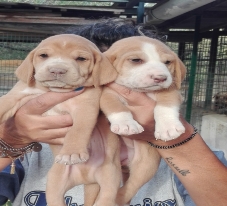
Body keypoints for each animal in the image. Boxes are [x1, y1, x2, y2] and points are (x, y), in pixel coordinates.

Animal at [0, 34, 122, 206]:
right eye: (44, 55)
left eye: (81, 58)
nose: (57, 69)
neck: (56, 90)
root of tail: (87, 179)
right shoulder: (18, 94)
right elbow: (3, 103)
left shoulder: (86, 107)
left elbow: (77, 130)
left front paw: (71, 153)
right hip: (54, 183)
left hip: (110, 177)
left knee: (106, 197)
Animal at [101, 35, 186, 204]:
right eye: (136, 60)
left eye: (167, 62)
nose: (161, 78)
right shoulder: (107, 94)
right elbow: (117, 107)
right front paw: (126, 125)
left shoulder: (171, 91)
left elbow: (165, 106)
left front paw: (168, 127)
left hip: (146, 166)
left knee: (129, 188)